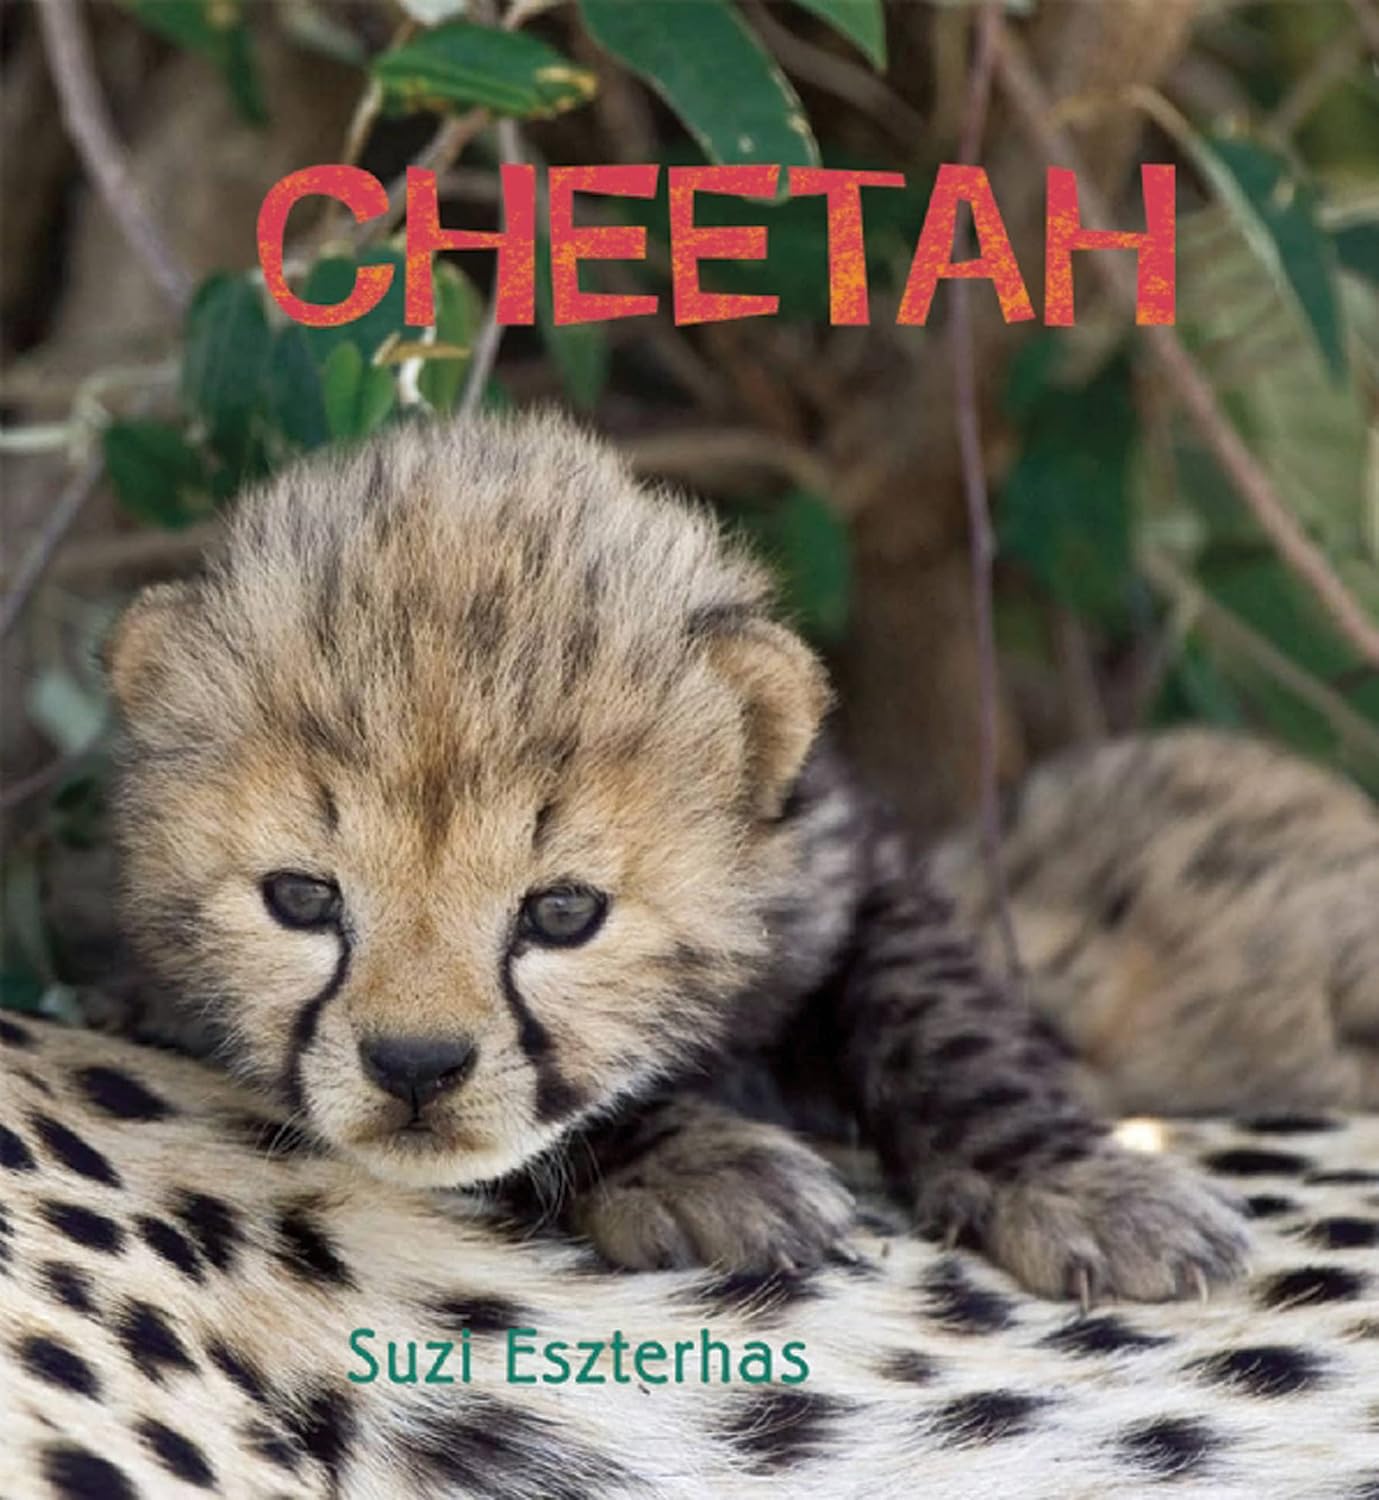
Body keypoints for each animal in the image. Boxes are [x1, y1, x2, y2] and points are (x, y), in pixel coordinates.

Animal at [100, 408, 1248, 1304]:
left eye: (562, 913)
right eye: (301, 897)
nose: (415, 1067)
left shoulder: (843, 879)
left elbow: (948, 1026)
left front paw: (1083, 1183)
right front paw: (709, 1165)